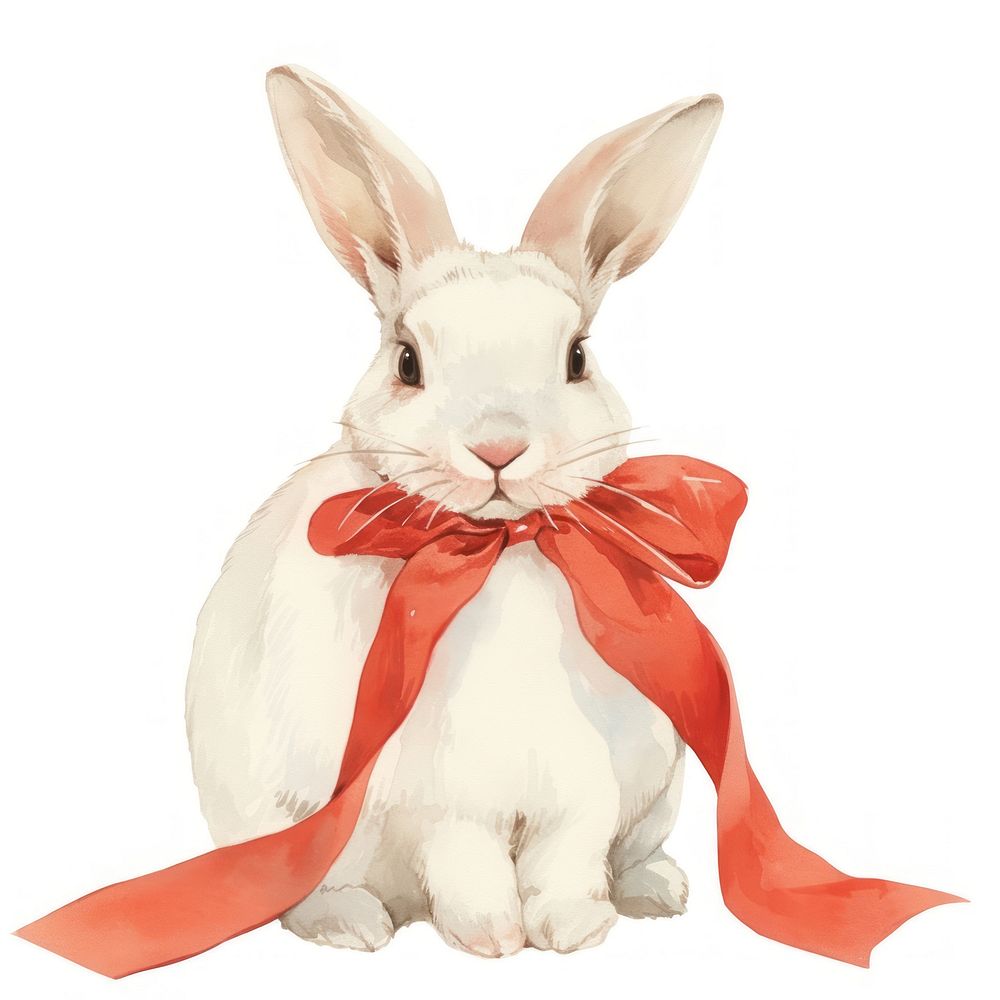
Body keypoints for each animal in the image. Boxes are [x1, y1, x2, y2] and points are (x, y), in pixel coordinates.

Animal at [185, 64, 723, 957]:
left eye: (578, 358)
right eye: (407, 361)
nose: (499, 447)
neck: (500, 547)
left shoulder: (587, 789)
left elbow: (566, 856)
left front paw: (574, 930)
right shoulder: (441, 802)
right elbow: (467, 859)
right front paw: (493, 939)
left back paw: (656, 891)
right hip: (280, 819)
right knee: (297, 889)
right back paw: (354, 926)